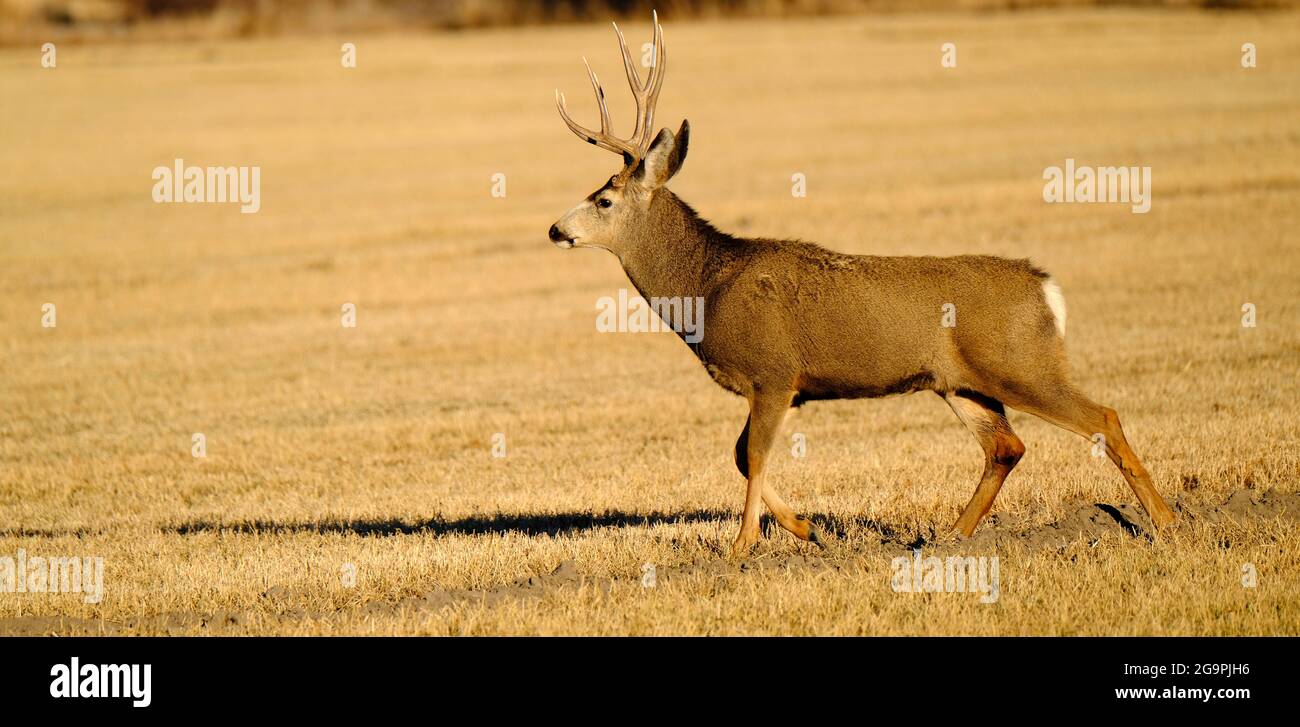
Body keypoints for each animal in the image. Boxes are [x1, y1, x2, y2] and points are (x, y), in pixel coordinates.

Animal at [548, 13, 1177, 558]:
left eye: (603, 200)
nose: (556, 229)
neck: (707, 286)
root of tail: (1046, 288)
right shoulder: (781, 386)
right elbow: (741, 456)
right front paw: (808, 530)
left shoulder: (774, 373)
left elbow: (752, 456)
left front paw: (742, 545)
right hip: (961, 382)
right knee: (1007, 446)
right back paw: (952, 535)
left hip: (1022, 361)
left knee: (1102, 418)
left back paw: (1166, 521)